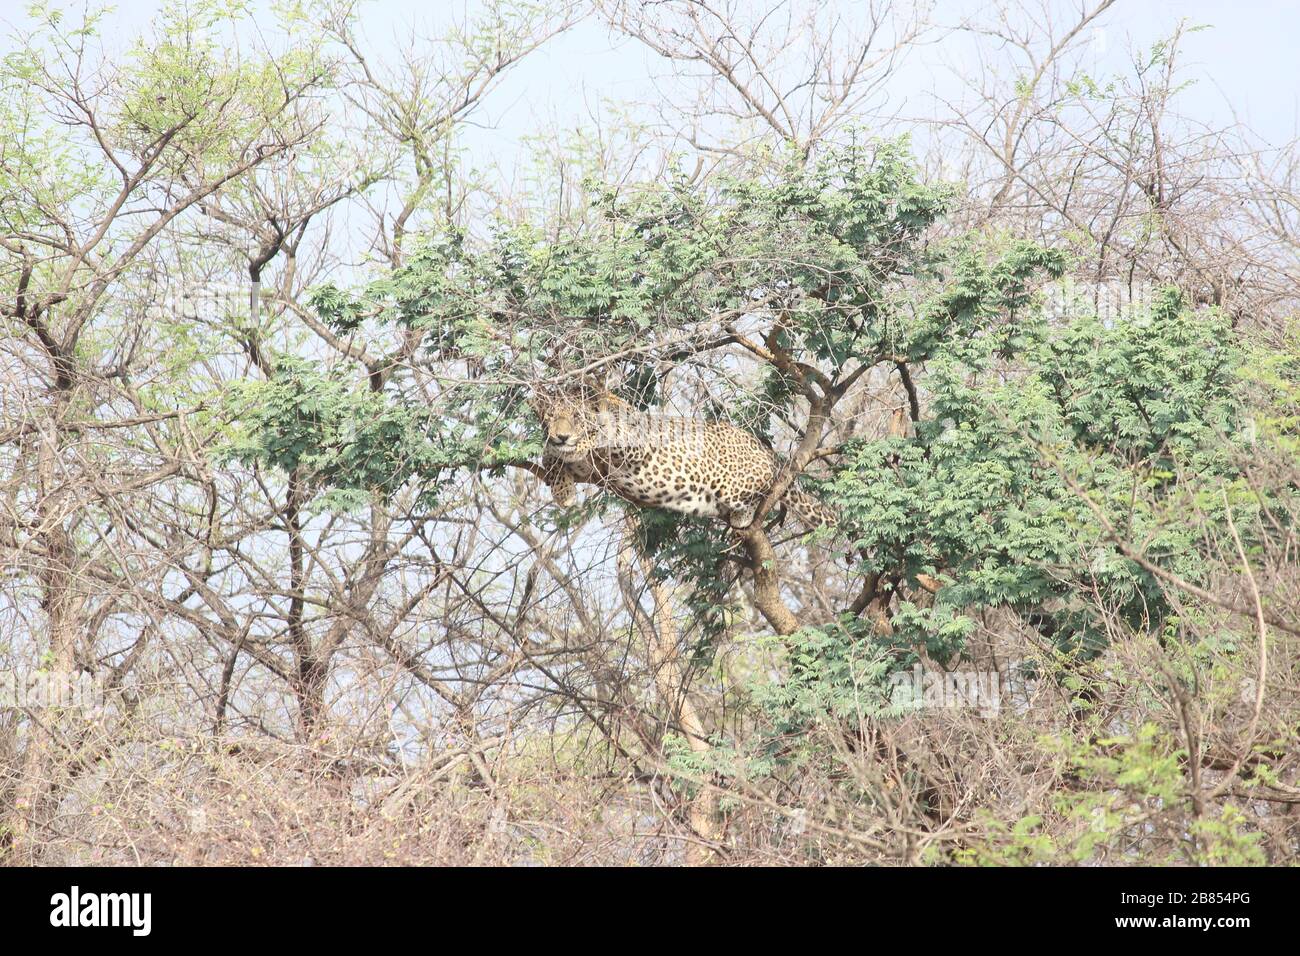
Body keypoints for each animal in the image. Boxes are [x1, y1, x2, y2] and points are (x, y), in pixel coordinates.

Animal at [531, 387, 837, 532]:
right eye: (550, 416)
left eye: (576, 416)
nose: (561, 436)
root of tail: (765, 451)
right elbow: (552, 460)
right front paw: (562, 490)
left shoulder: (640, 444)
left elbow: (601, 438)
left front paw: (580, 442)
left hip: (733, 481)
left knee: (762, 489)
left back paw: (742, 515)